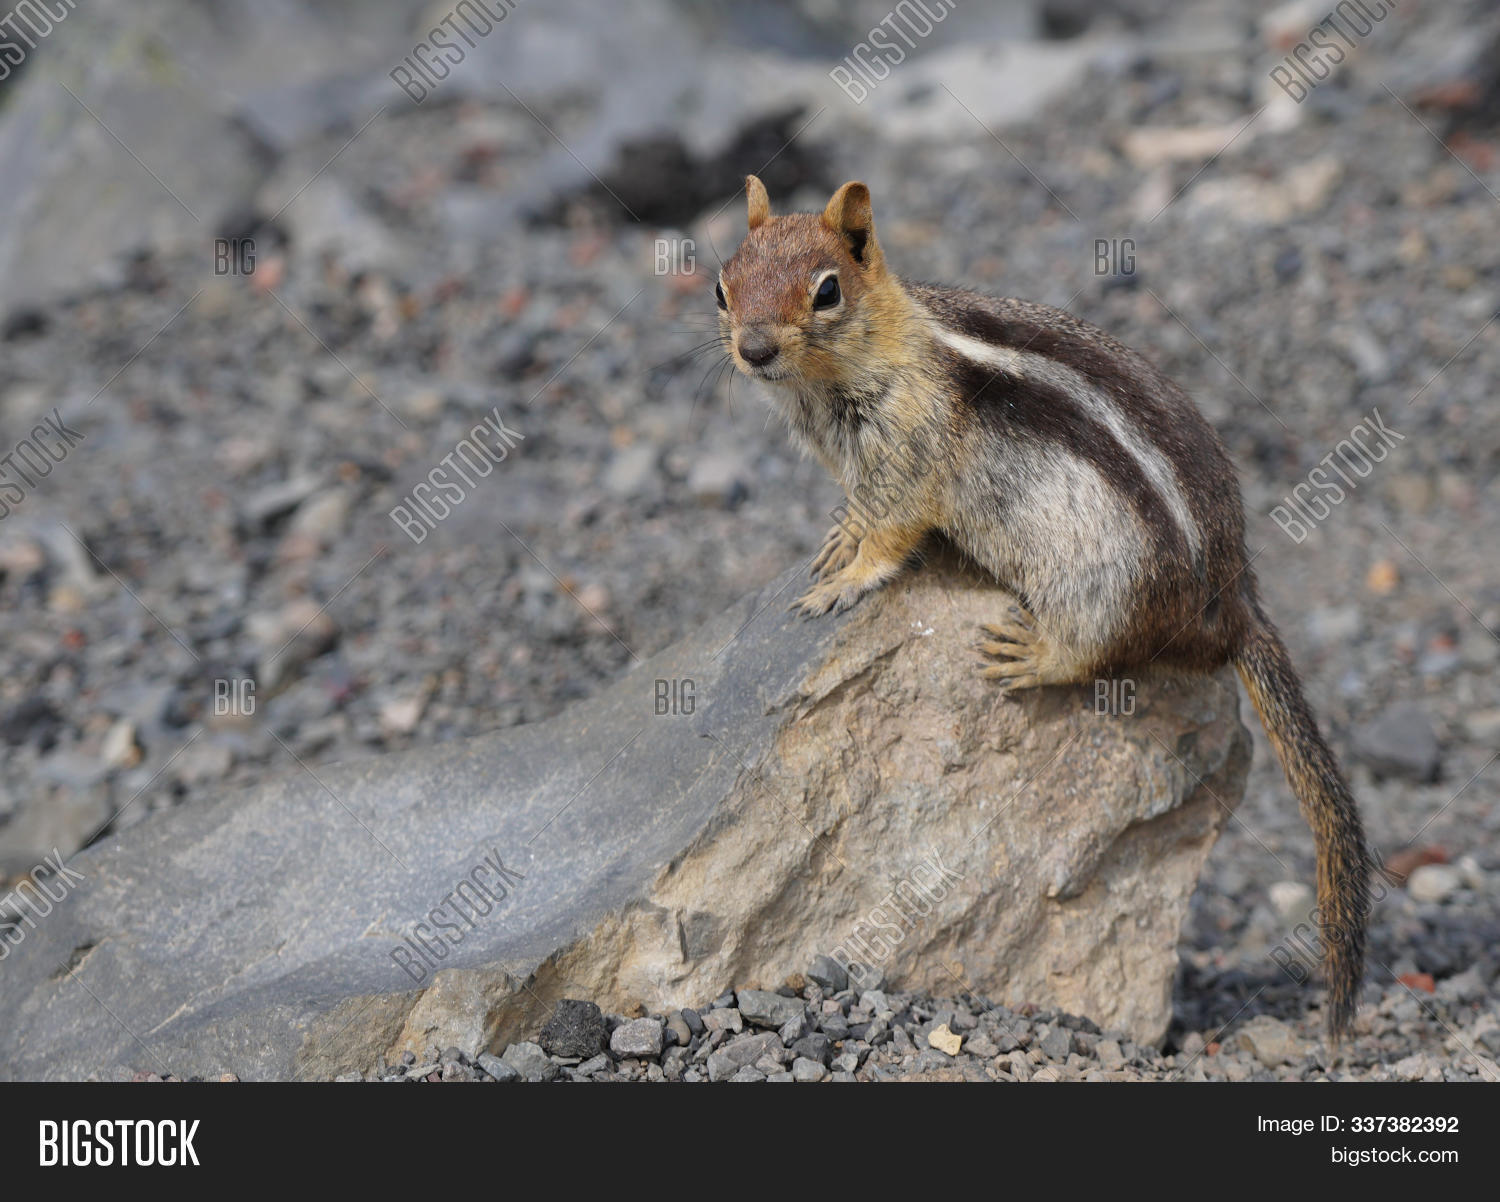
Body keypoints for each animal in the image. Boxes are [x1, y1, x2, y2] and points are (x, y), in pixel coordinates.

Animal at [715, 174, 1371, 1044]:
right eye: (722, 284)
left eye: (826, 291)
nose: (753, 349)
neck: (858, 362)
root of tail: (1235, 605)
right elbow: (861, 513)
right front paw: (836, 538)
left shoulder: (910, 456)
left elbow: (893, 534)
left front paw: (844, 582)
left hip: (1105, 592)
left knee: (1094, 653)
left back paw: (1032, 657)